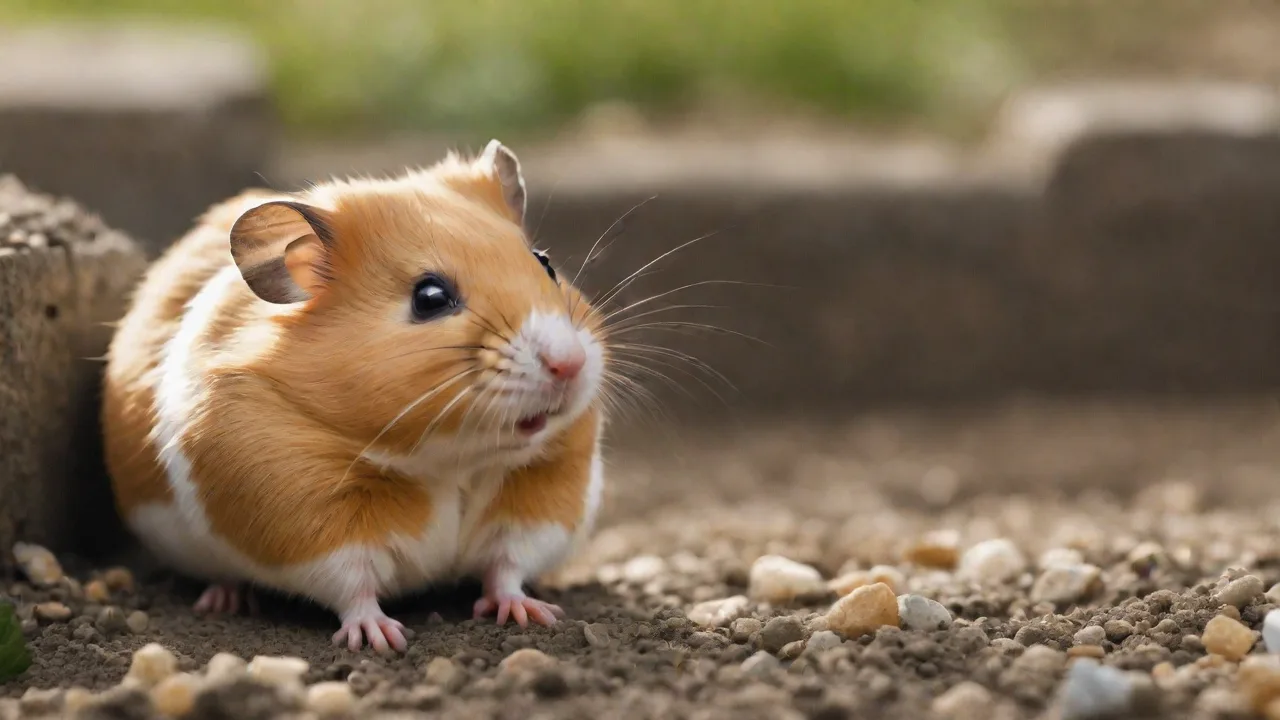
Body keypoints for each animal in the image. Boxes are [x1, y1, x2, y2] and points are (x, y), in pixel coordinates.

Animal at [101, 140, 609, 653]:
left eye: (545, 263)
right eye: (429, 298)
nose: (570, 364)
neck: (451, 460)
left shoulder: (543, 501)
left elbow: (507, 567)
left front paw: (534, 615)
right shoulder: (305, 517)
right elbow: (353, 585)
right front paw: (381, 639)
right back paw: (223, 600)